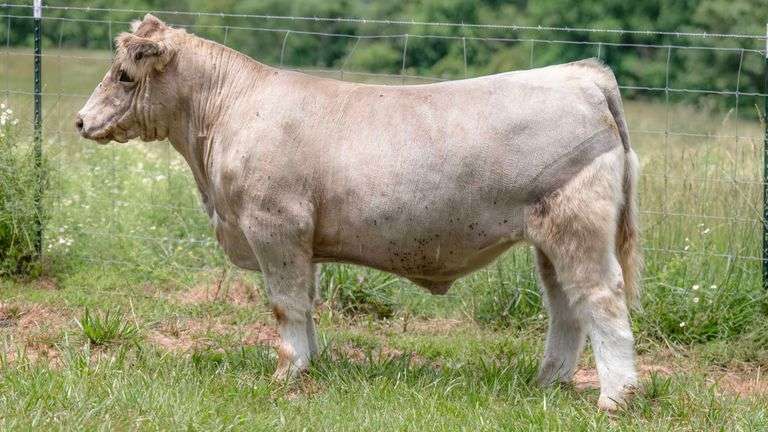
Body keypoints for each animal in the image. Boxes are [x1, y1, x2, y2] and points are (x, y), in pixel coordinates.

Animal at [76, 15, 642, 411]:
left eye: (124, 75)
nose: (81, 120)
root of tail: (579, 74)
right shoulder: (301, 241)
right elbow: (305, 303)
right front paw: (310, 364)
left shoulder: (274, 226)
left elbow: (285, 304)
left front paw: (286, 373)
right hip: (548, 237)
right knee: (565, 307)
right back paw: (548, 381)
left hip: (577, 225)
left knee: (600, 299)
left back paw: (615, 397)